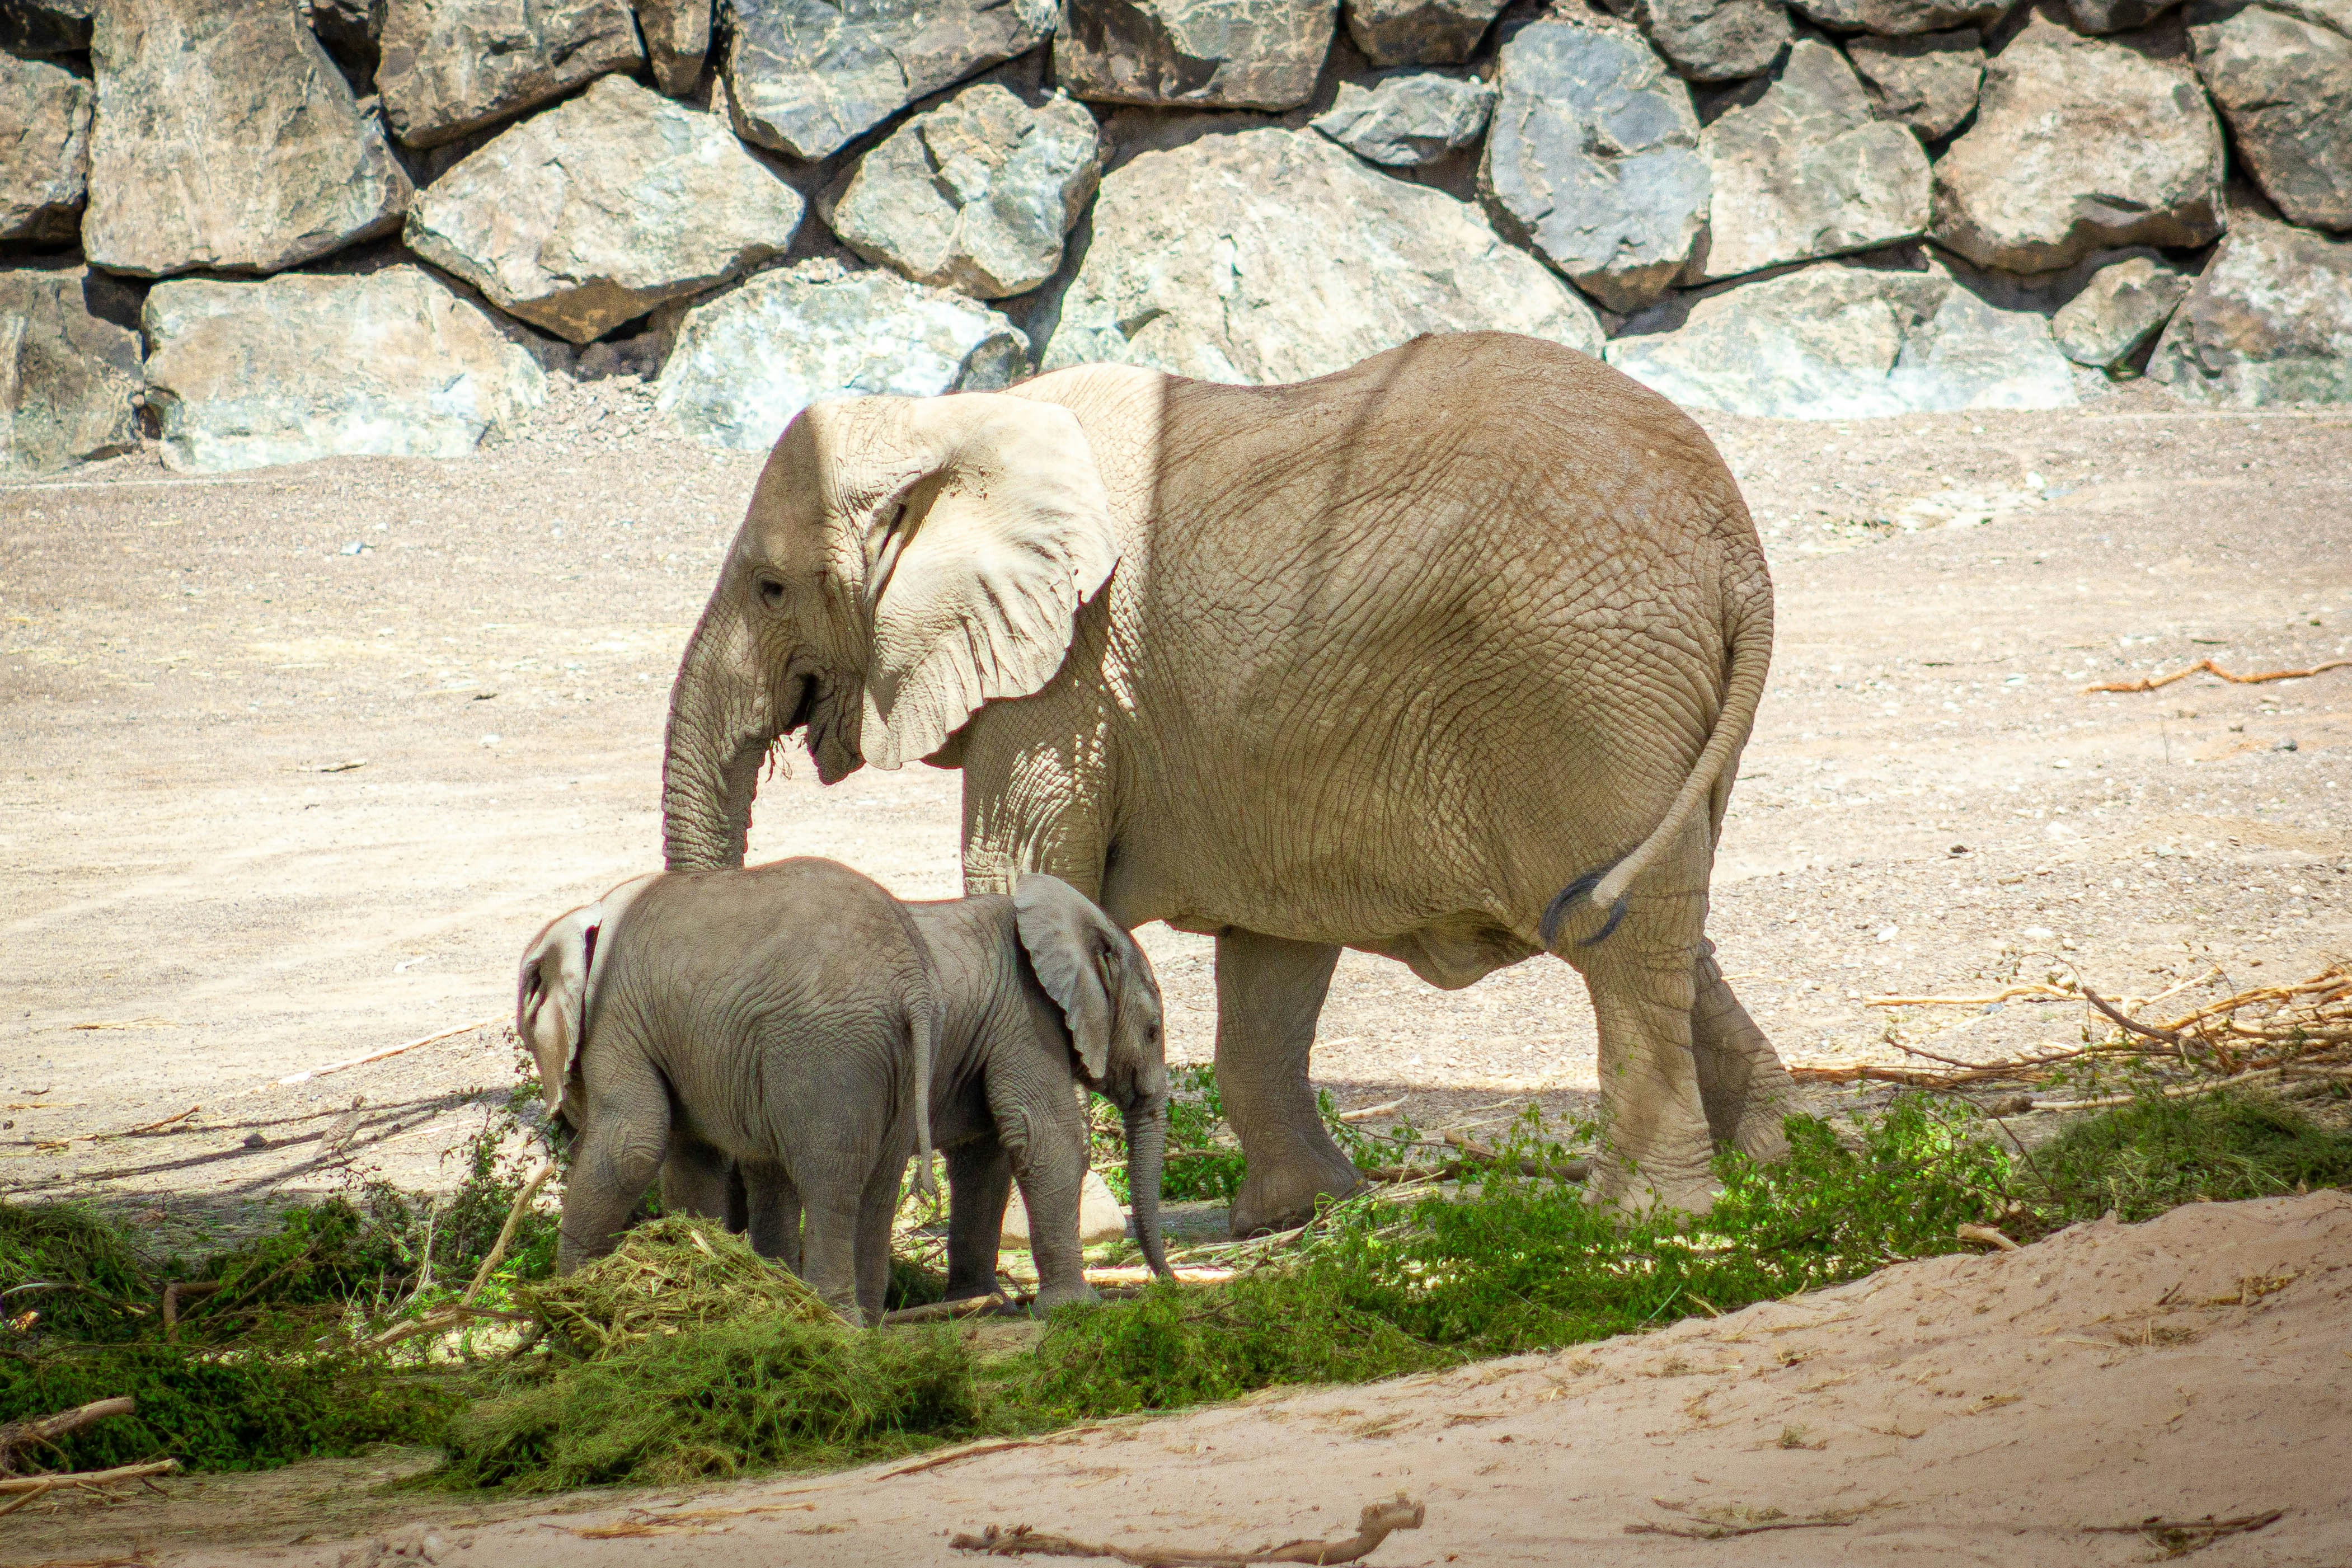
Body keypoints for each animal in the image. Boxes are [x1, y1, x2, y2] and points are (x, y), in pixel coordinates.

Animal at [518, 862, 1171, 1314]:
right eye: (1154, 1031)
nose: (1170, 1285)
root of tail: (910, 980)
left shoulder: (1014, 1019)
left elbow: (1016, 1143)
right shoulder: (1018, 1016)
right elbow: (1016, 1144)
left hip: (833, 1049)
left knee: (835, 1175)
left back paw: (844, 1321)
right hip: (843, 1051)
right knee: (853, 1177)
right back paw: (856, 1321)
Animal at [657, 330, 1794, 1229]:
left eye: (769, 587)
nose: (727, 1214)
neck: (952, 425)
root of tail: (1735, 551)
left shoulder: (1065, 681)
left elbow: (1025, 878)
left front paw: (1075, 1234)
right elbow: (1271, 955)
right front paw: (1294, 1215)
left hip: (1584, 691)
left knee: (1616, 932)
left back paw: (1647, 1213)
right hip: (1641, 711)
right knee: (1665, 919)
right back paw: (1782, 1170)